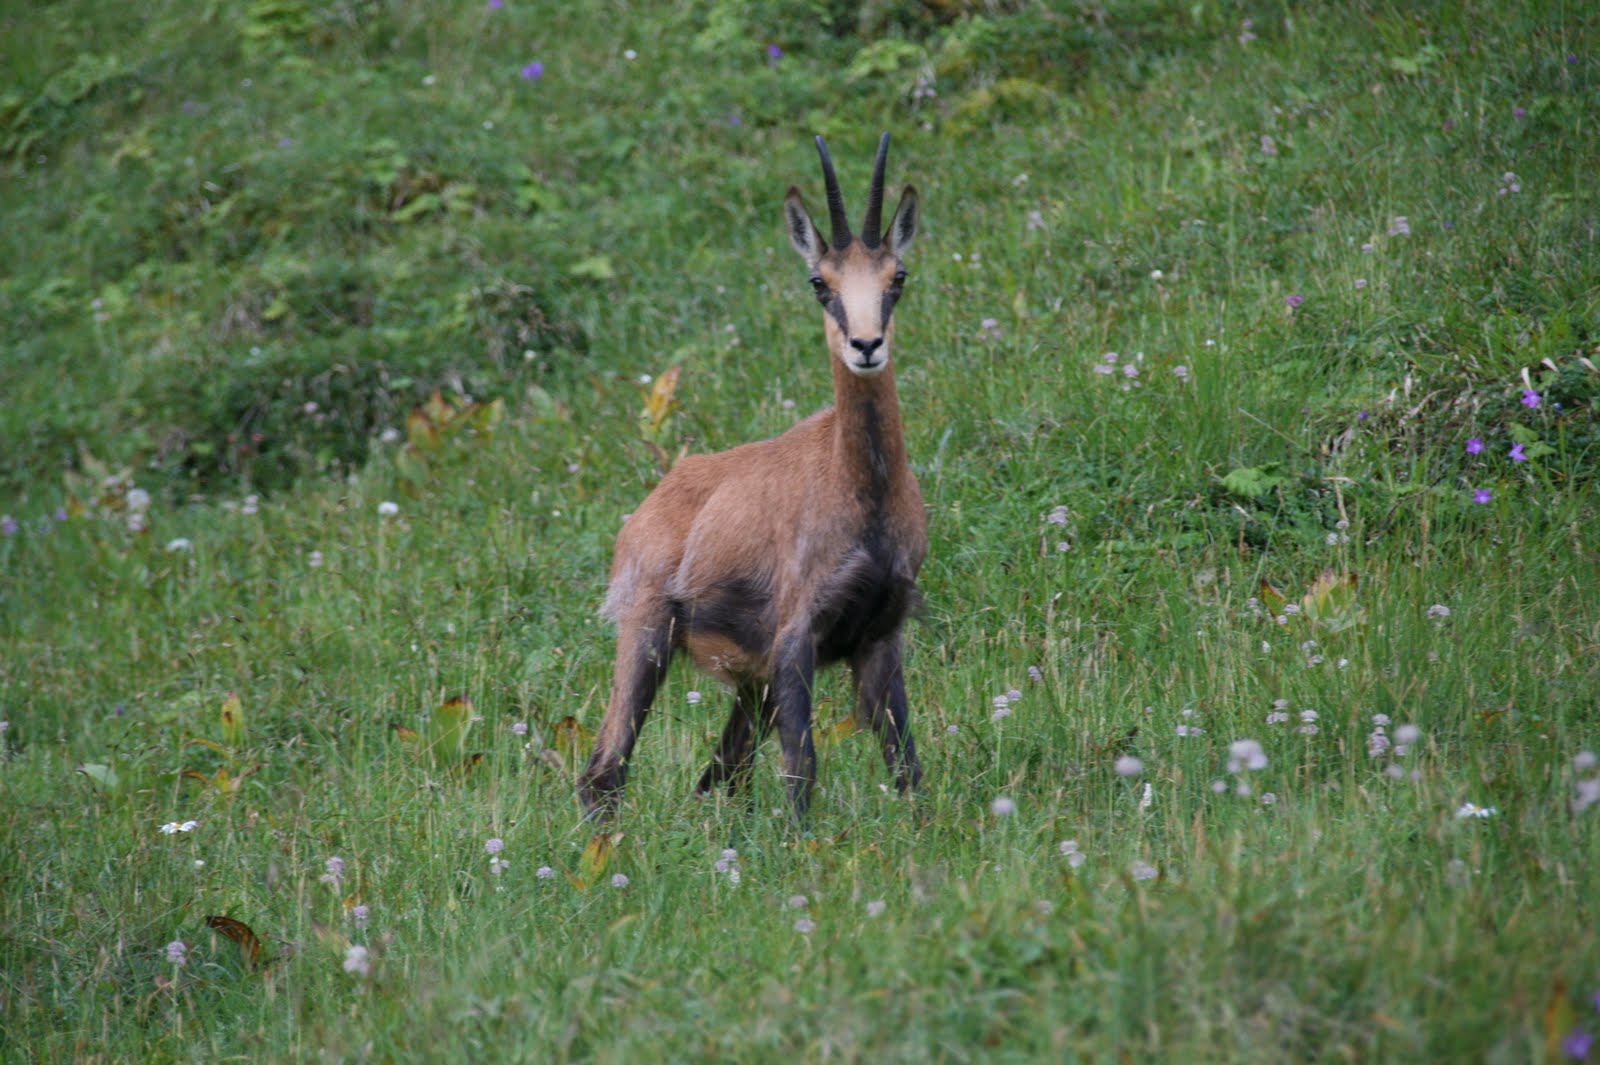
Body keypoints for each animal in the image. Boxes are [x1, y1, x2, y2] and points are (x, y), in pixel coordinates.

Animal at [578, 132, 925, 820]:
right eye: (820, 282)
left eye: (896, 277)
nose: (866, 345)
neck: (866, 499)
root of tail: (655, 500)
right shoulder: (797, 636)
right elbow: (802, 768)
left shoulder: (881, 633)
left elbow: (907, 765)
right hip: (647, 631)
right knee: (607, 767)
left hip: (749, 684)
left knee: (721, 771)